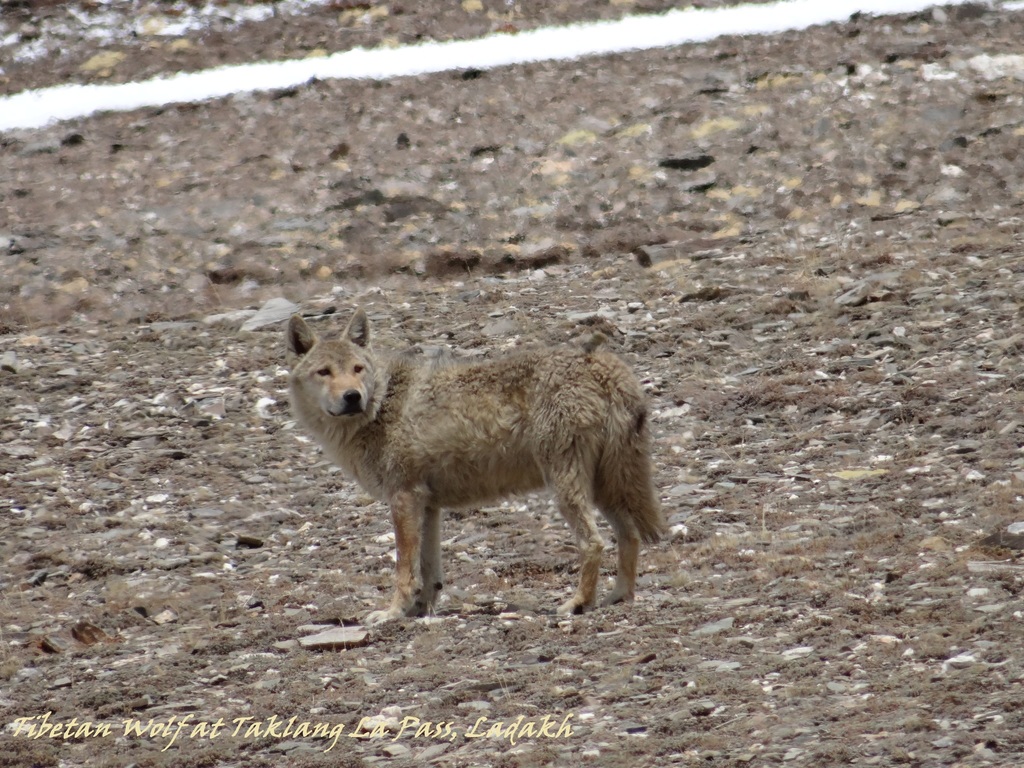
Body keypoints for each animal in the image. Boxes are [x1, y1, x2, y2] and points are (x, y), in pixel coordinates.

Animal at [286, 308, 664, 625]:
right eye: (324, 372)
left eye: (357, 369)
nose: (352, 397)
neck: (380, 405)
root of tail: (602, 363)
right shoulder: (427, 504)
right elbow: (430, 571)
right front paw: (421, 609)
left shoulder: (403, 497)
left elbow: (405, 568)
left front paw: (393, 612)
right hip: (604, 488)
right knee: (629, 535)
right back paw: (618, 597)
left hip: (567, 487)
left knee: (594, 542)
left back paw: (578, 603)